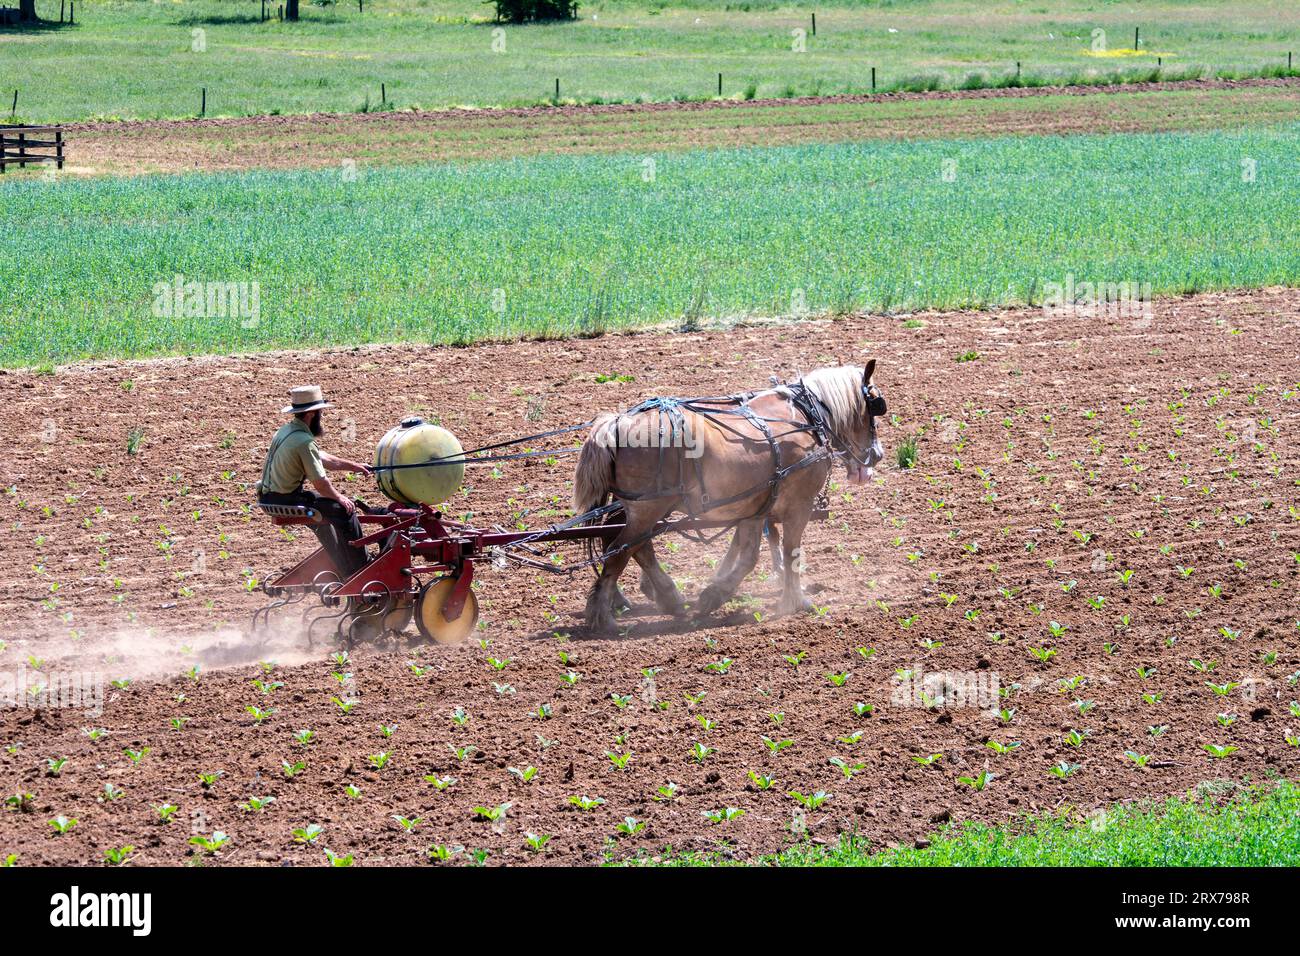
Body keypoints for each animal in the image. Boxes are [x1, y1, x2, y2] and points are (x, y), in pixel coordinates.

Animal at [572, 361, 886, 633]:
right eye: (874, 408)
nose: (878, 455)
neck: (807, 419)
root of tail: (619, 422)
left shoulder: (755, 507)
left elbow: (748, 556)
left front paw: (714, 594)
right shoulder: (800, 506)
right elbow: (790, 552)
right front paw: (796, 602)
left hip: (643, 510)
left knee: (635, 547)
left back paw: (667, 598)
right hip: (649, 508)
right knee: (620, 551)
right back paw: (604, 617)